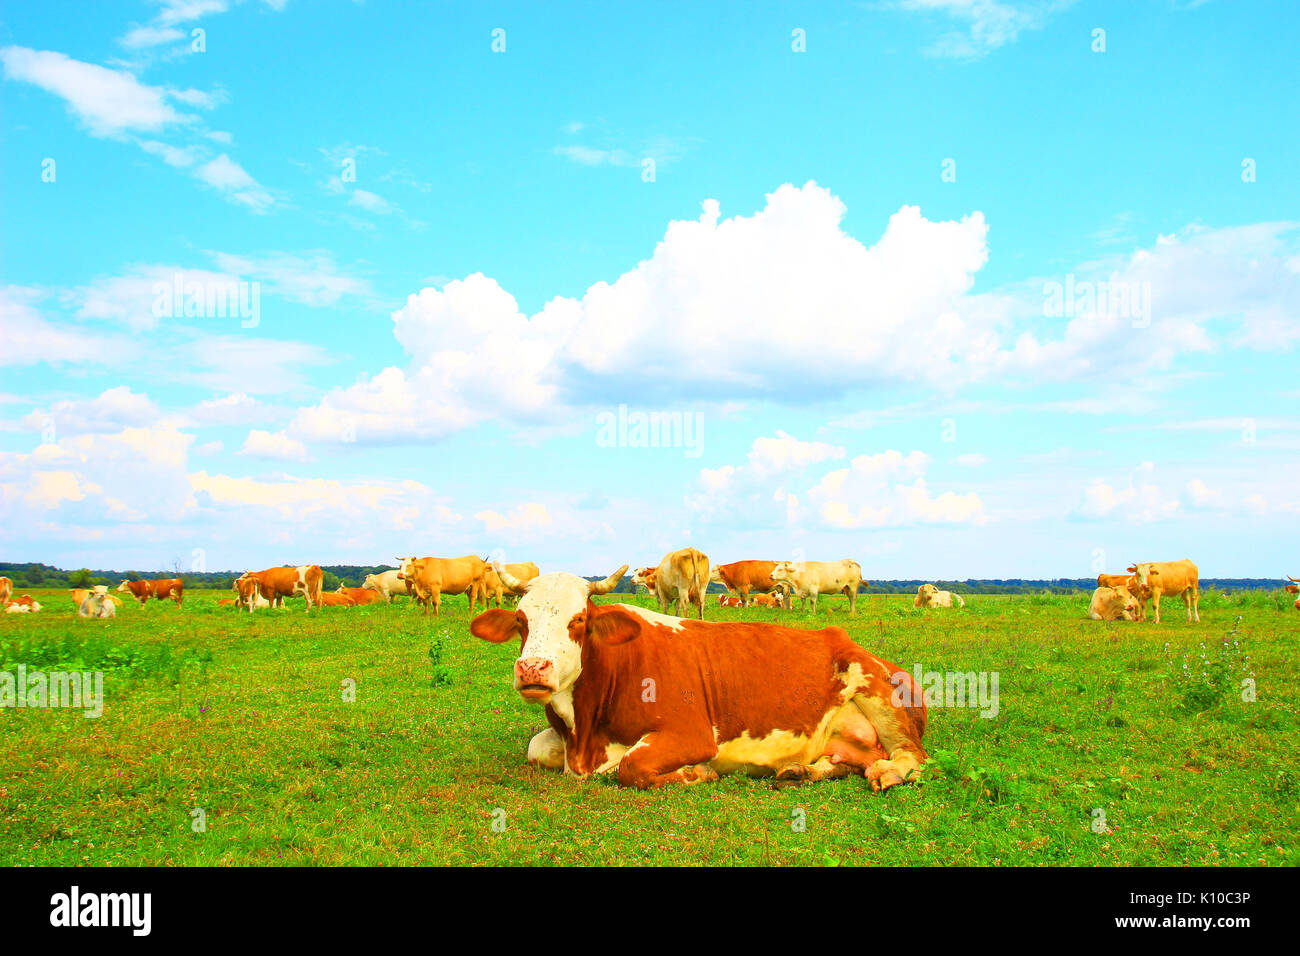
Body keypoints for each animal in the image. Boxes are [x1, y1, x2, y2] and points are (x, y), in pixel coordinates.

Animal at [469, 566, 927, 791]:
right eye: (521, 620)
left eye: (578, 619)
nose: (533, 669)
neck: (584, 736)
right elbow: (535, 749)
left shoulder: (691, 734)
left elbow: (631, 767)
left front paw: (697, 774)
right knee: (847, 762)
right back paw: (800, 772)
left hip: (879, 694)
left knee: (912, 757)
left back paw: (888, 773)